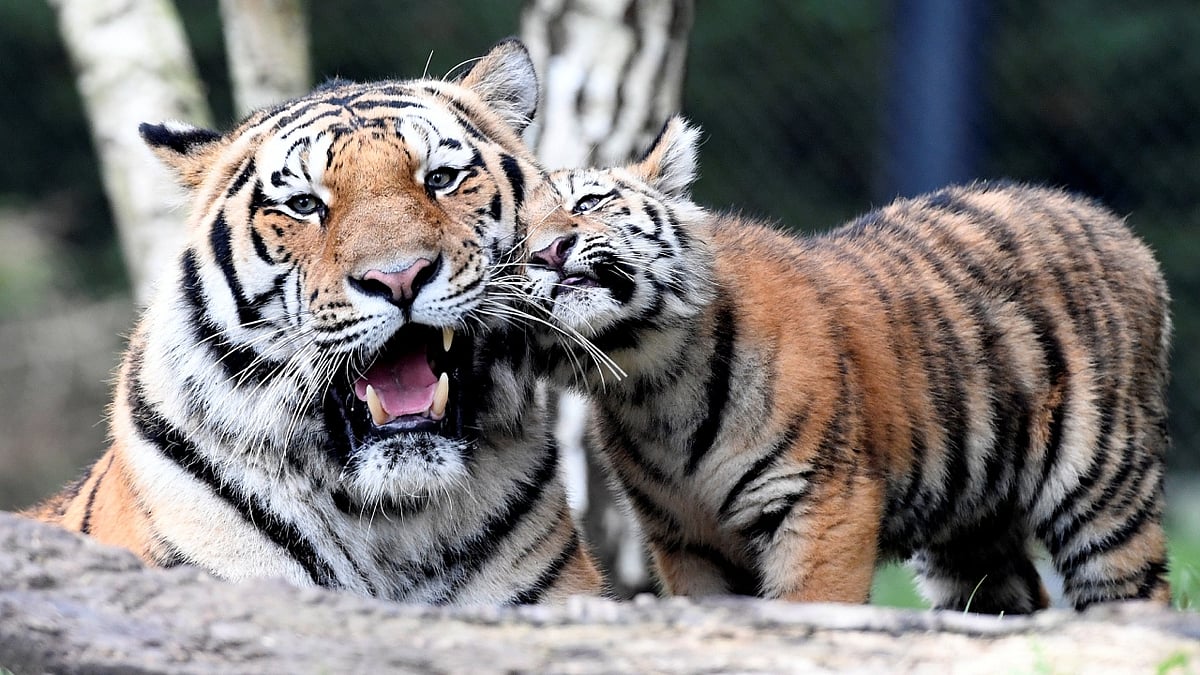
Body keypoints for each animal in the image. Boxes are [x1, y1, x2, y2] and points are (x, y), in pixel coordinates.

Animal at [519, 116, 1172, 613]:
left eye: (589, 202)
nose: (545, 253)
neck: (648, 378)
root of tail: (1121, 229)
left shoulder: (822, 505)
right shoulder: (688, 542)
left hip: (1103, 487)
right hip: (971, 531)